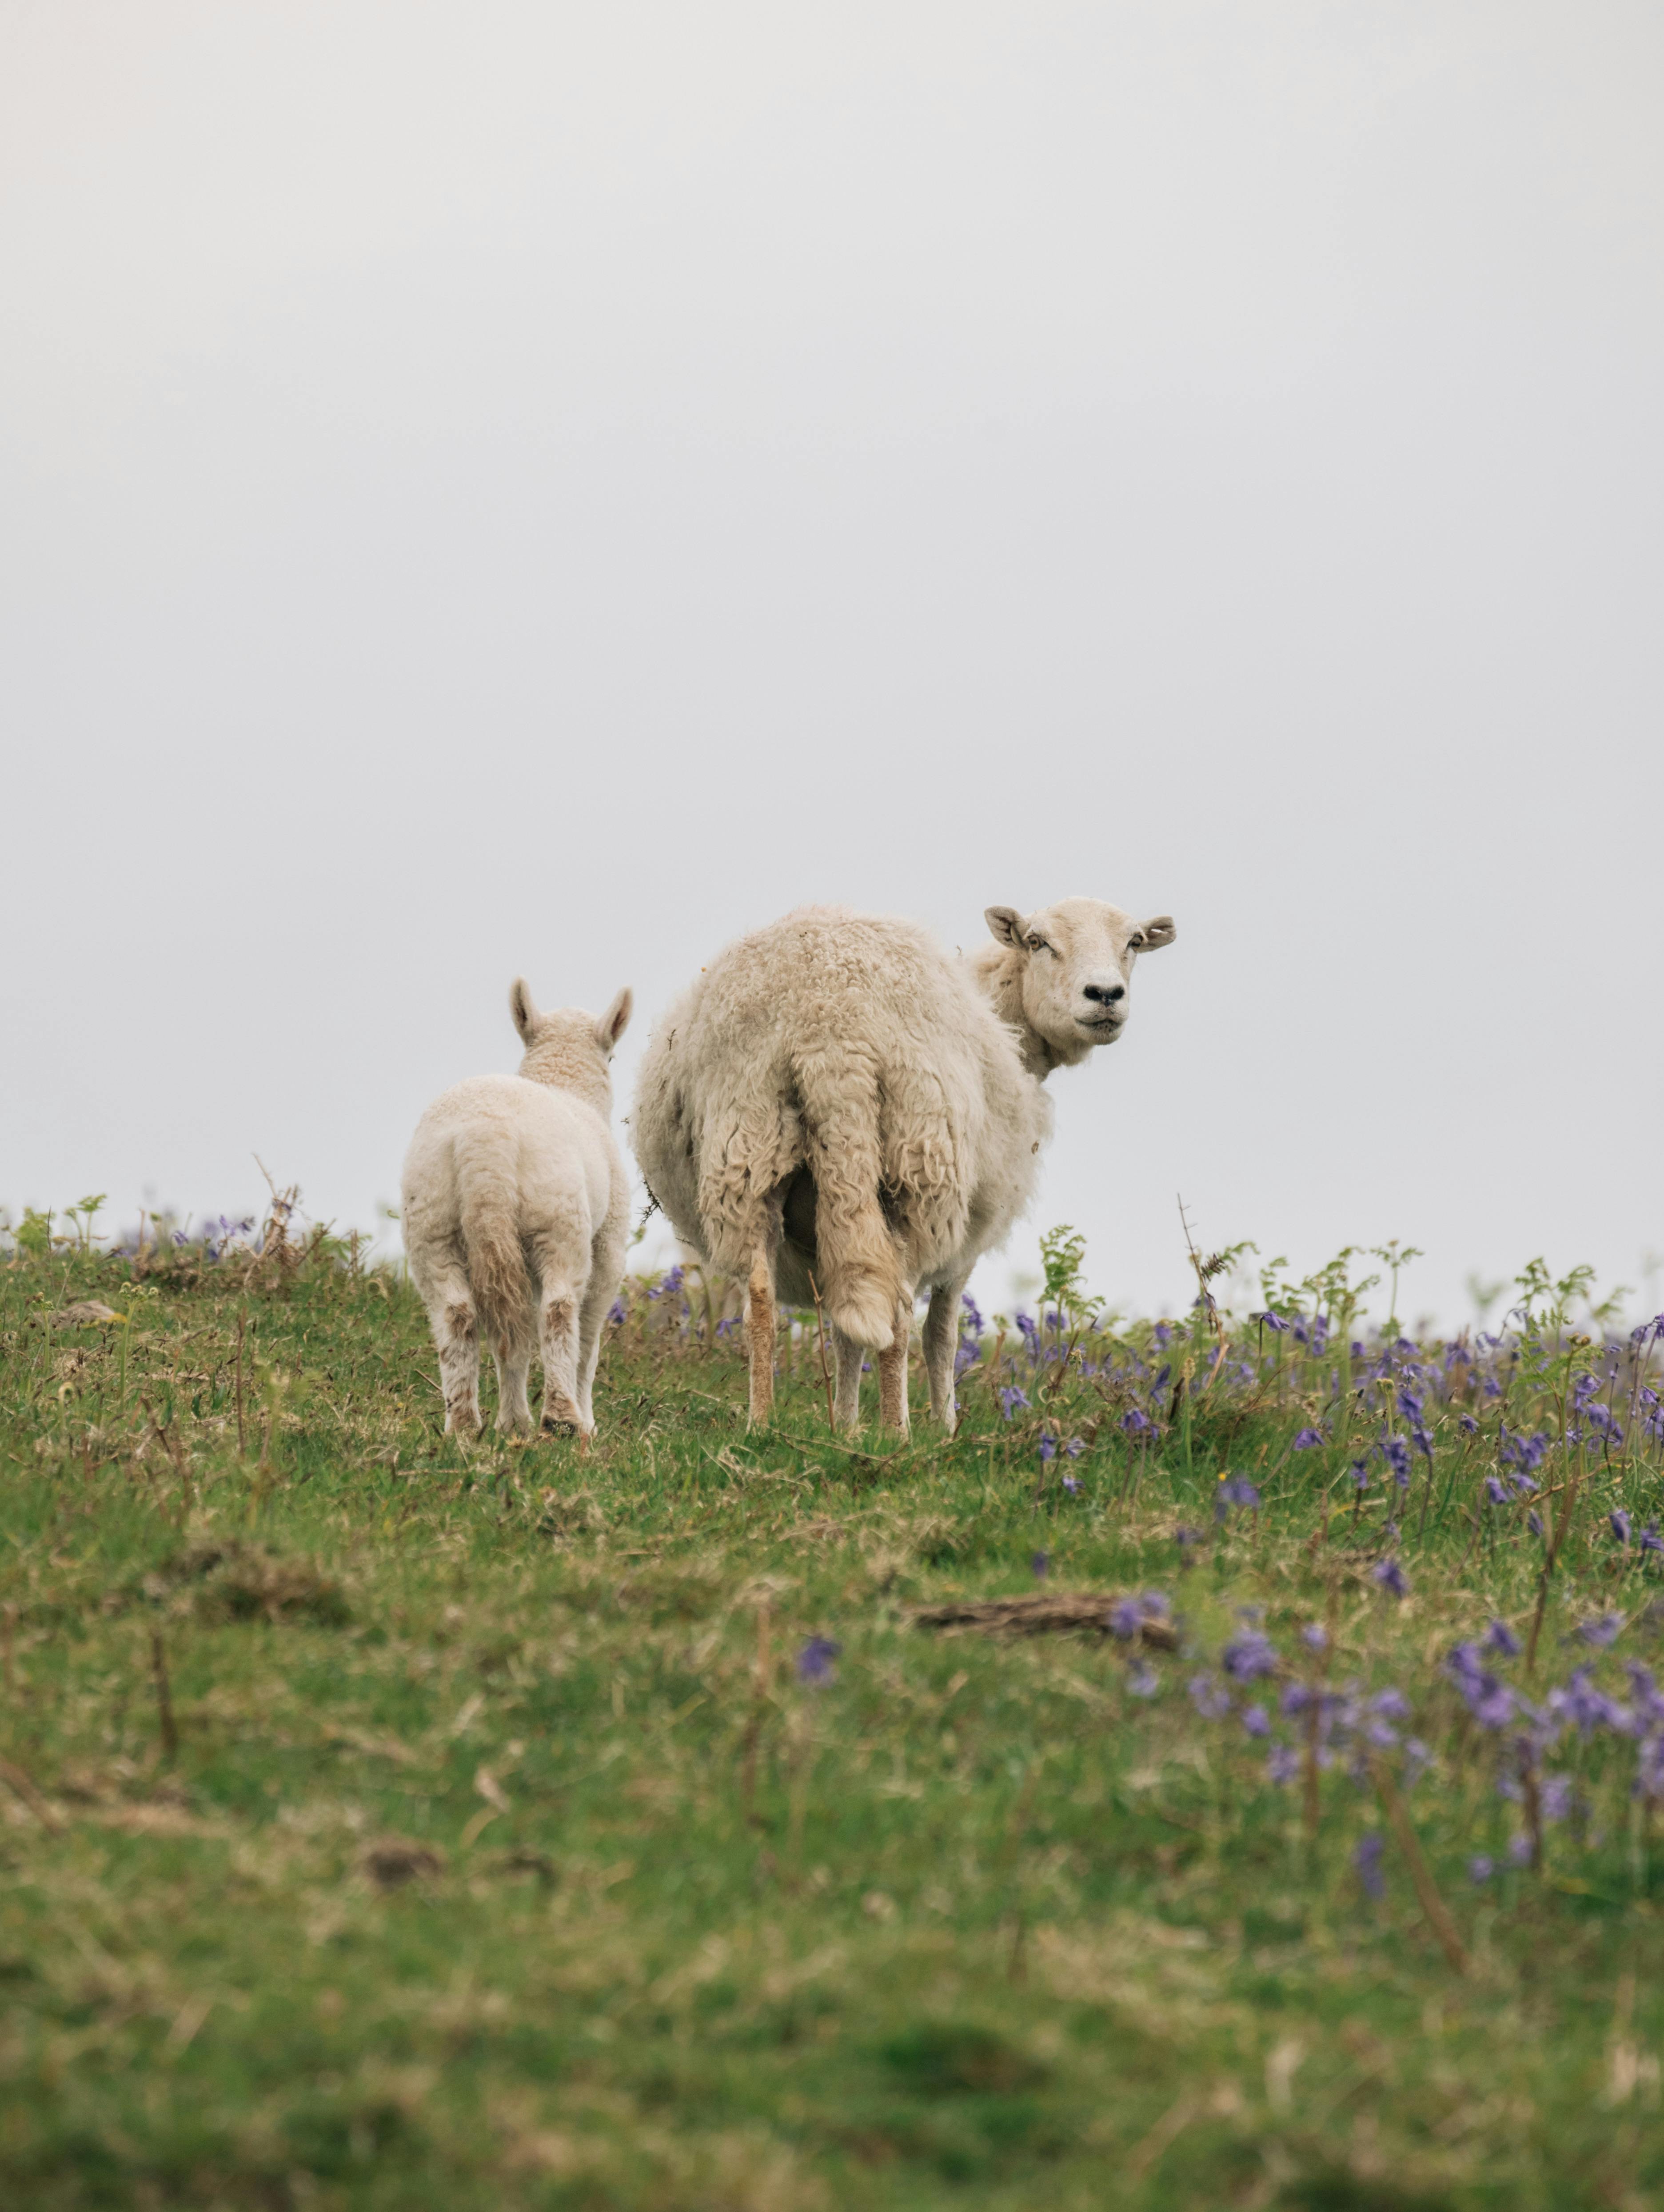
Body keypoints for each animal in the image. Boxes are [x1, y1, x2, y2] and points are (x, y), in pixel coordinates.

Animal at [402, 980, 633, 1440]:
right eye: (613, 1056)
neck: (564, 1082)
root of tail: (484, 1136)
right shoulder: (610, 1244)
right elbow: (589, 1339)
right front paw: (588, 1420)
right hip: (557, 1215)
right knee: (559, 1312)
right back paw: (562, 1418)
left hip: (431, 1220)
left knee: (461, 1315)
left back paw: (471, 1424)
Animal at [631, 897, 1174, 1433]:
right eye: (1037, 942)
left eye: (1134, 942)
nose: (1104, 995)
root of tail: (827, 1023)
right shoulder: (966, 1243)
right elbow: (942, 1333)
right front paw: (943, 1427)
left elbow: (847, 1331)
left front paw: (845, 1427)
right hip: (917, 1165)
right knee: (896, 1315)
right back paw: (898, 1434)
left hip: (750, 1148)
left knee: (763, 1300)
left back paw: (761, 1424)